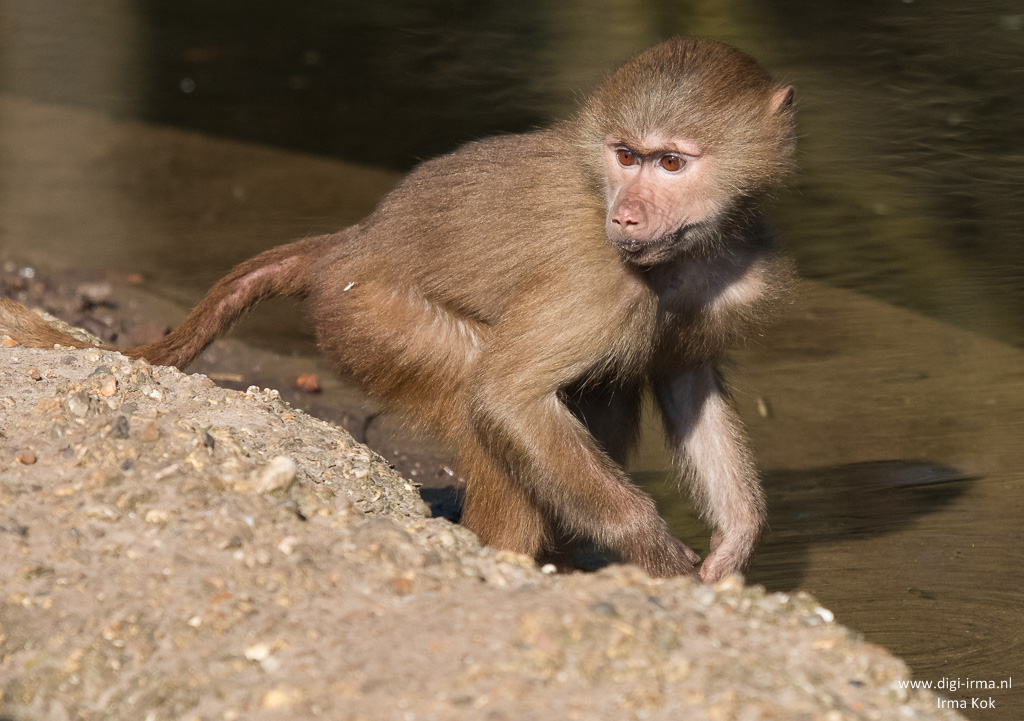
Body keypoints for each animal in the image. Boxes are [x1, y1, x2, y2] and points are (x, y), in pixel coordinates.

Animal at [0, 37, 796, 583]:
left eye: (671, 163)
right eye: (626, 155)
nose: (627, 218)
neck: (680, 251)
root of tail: (354, 241)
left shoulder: (730, 269)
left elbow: (684, 378)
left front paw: (735, 540)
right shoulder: (604, 283)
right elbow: (507, 396)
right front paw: (657, 555)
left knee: (604, 392)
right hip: (369, 316)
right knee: (481, 384)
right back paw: (508, 560)